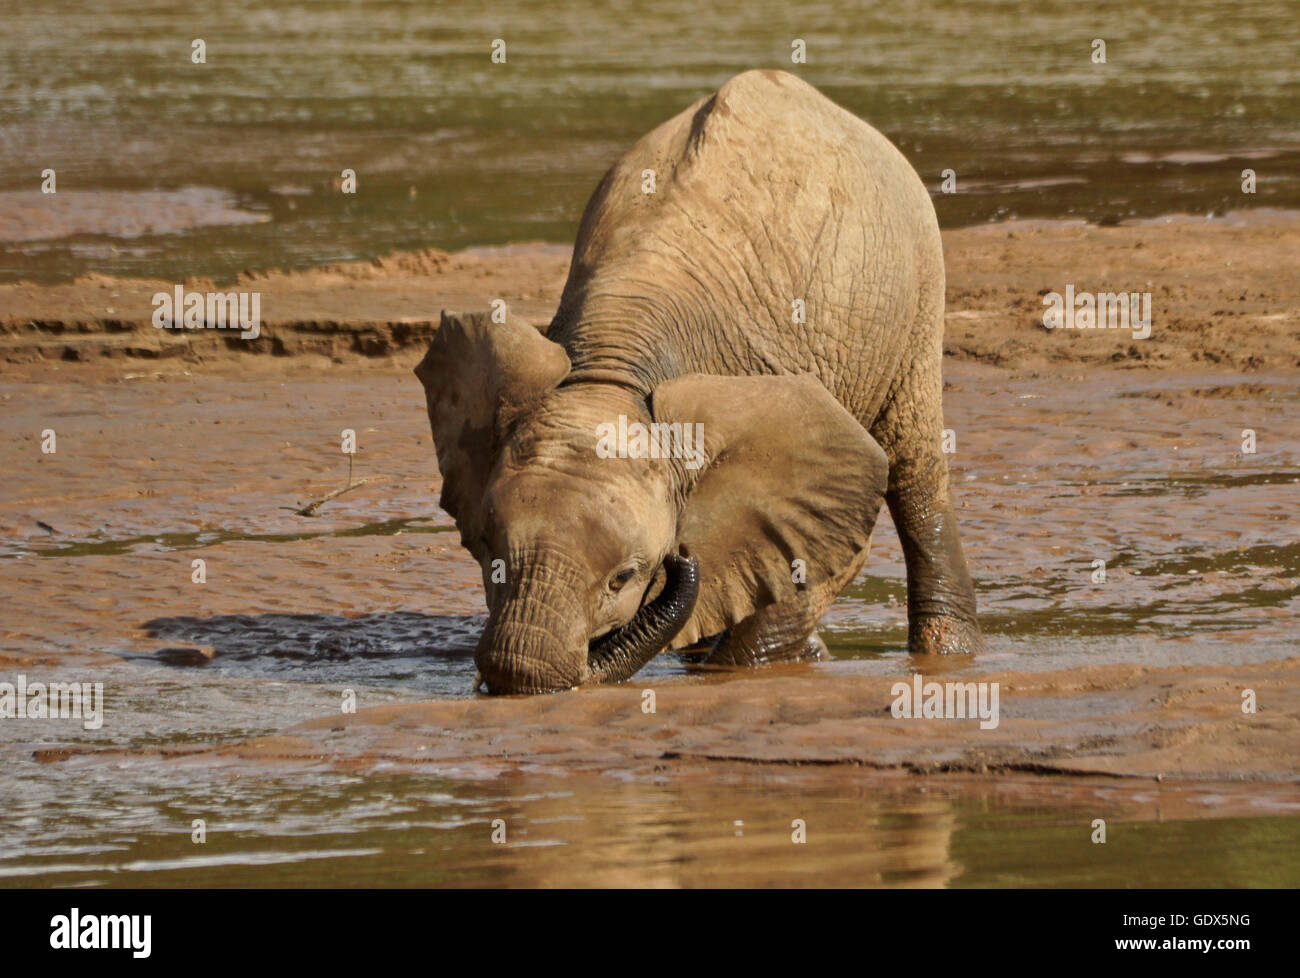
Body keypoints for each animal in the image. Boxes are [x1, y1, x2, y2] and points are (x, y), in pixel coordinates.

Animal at [415, 69, 983, 694]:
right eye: (484, 549)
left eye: (624, 577)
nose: (677, 561)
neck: (615, 365)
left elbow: (825, 560)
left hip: (917, 289)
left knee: (914, 468)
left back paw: (948, 655)